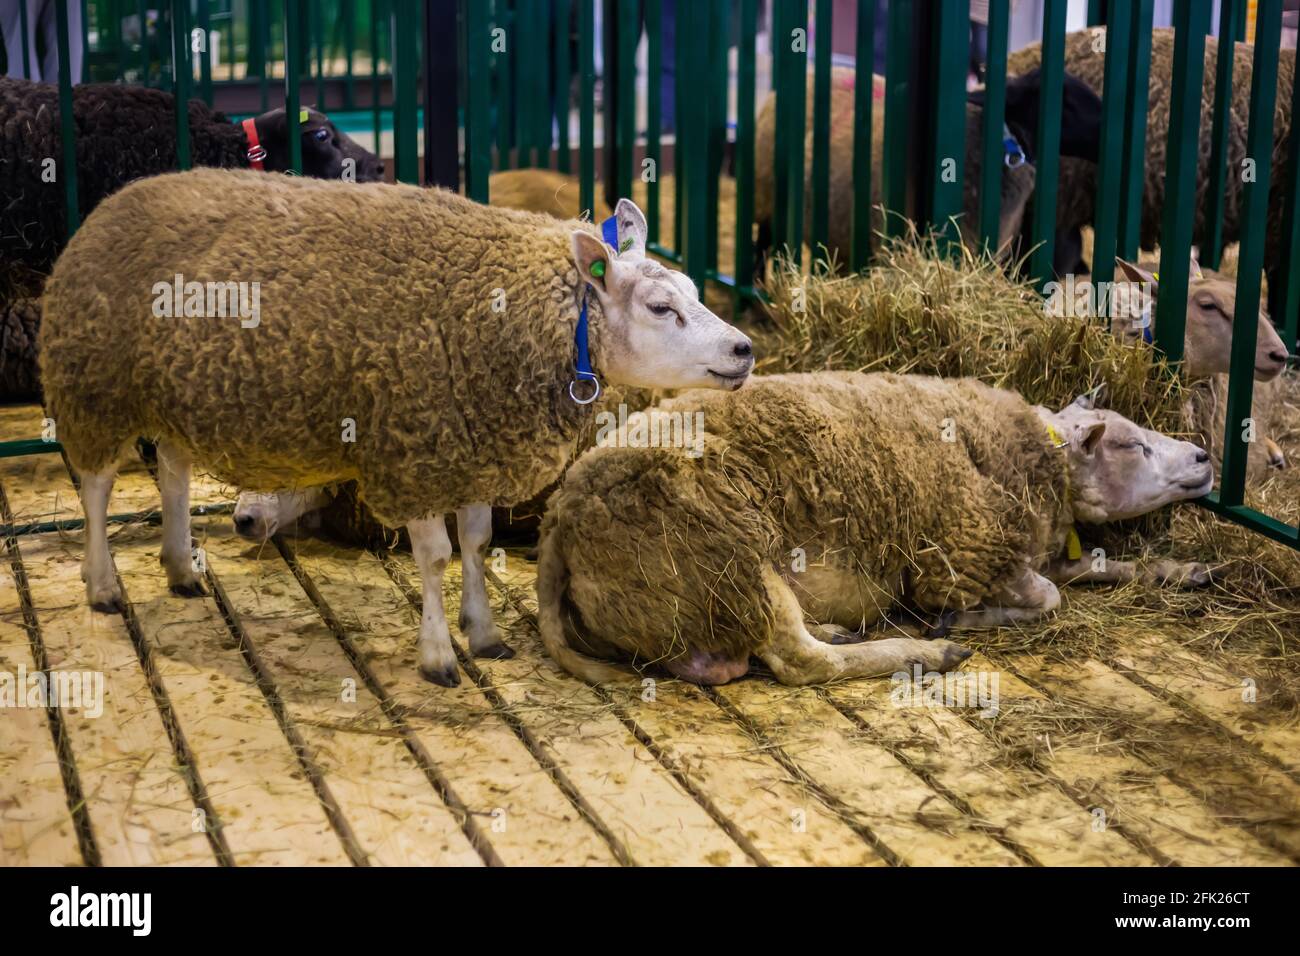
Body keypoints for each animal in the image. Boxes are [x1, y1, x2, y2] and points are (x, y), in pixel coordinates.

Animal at [38, 167, 754, 687]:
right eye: (660, 307)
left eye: (693, 293)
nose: (745, 349)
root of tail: (111, 202)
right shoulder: (416, 449)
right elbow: (436, 556)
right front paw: (438, 656)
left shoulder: (472, 447)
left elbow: (476, 542)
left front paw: (484, 634)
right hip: (93, 385)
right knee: (97, 486)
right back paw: (102, 585)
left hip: (173, 394)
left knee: (173, 471)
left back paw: (180, 566)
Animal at [536, 372, 1213, 686]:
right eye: (1132, 444)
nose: (1205, 457)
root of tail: (559, 520)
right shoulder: (961, 551)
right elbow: (1048, 597)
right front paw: (961, 621)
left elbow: (1089, 568)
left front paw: (1181, 569)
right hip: (735, 552)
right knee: (798, 661)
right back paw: (926, 653)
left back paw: (841, 630)